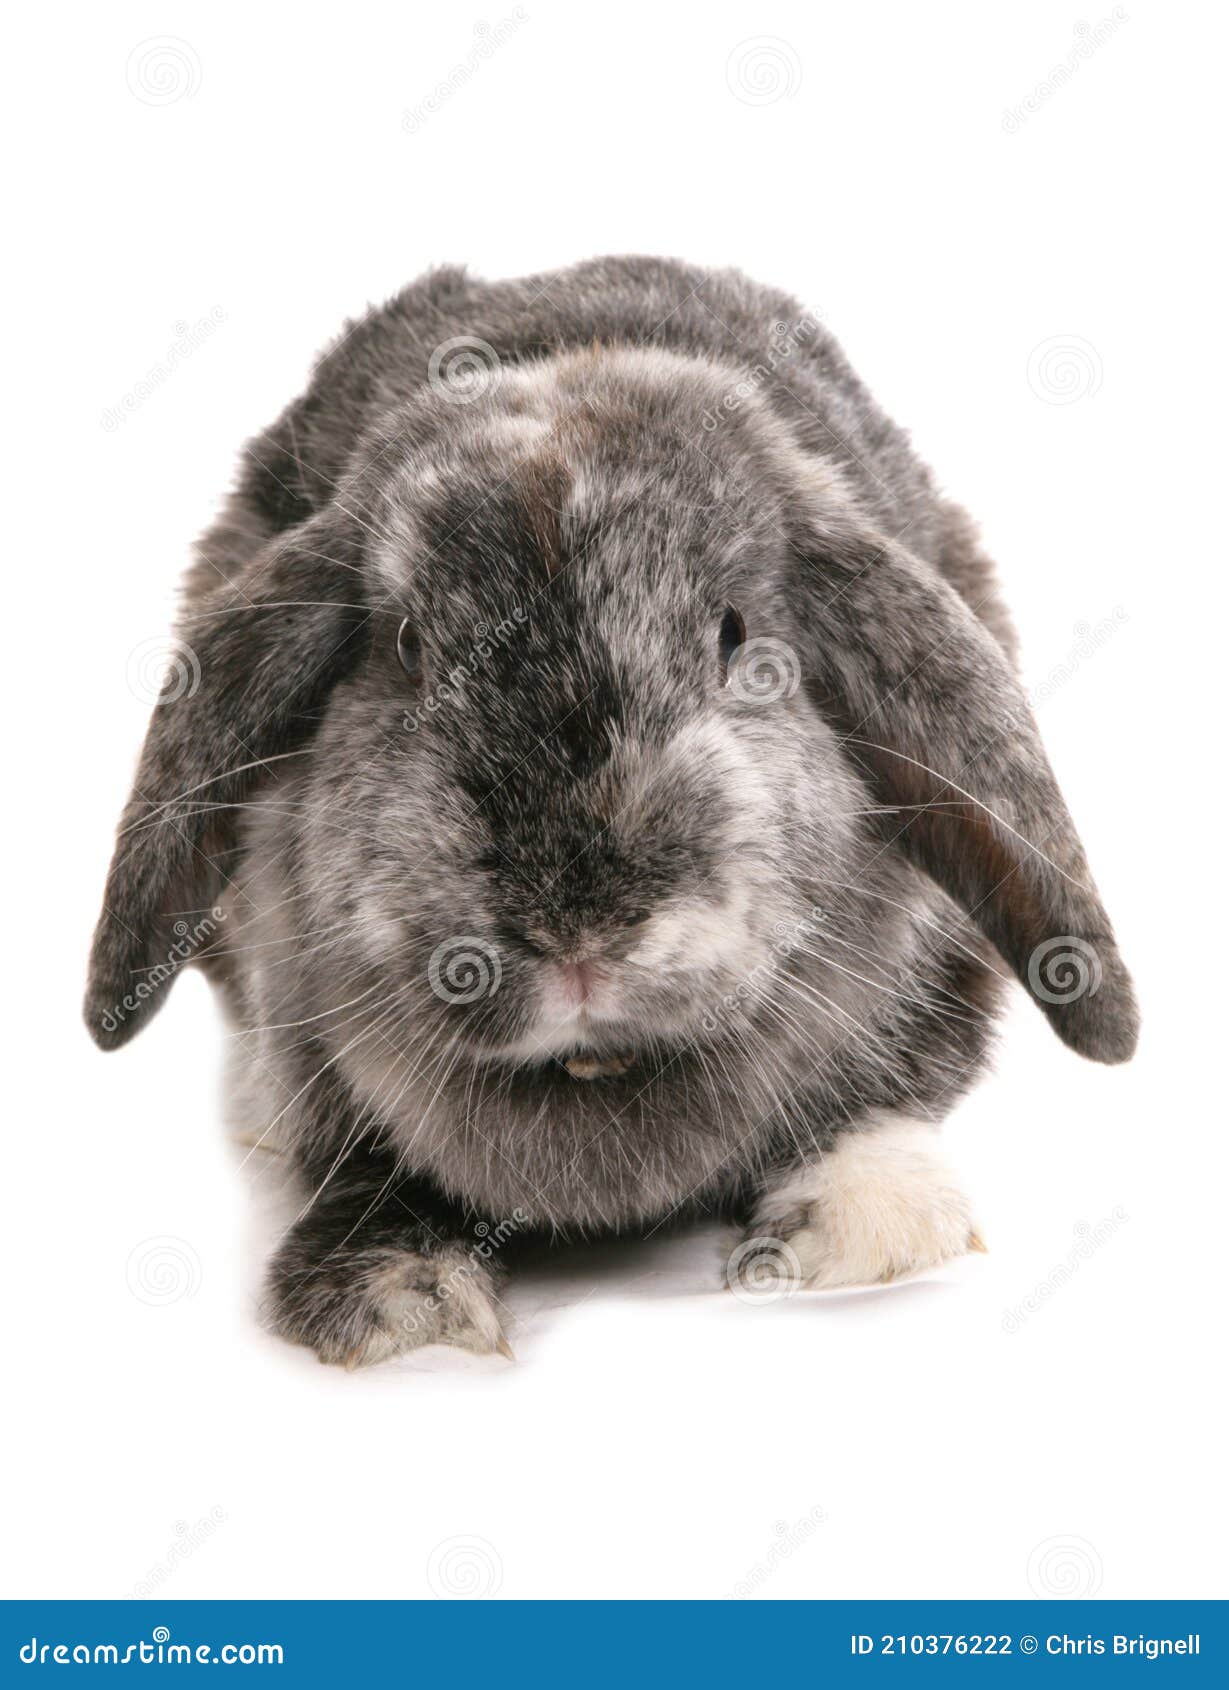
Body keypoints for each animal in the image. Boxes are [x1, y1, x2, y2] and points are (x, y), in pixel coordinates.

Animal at [86, 256, 1138, 1366]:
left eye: (733, 635)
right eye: (408, 647)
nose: (575, 930)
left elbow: (879, 1105)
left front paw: (860, 1226)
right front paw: (396, 1298)